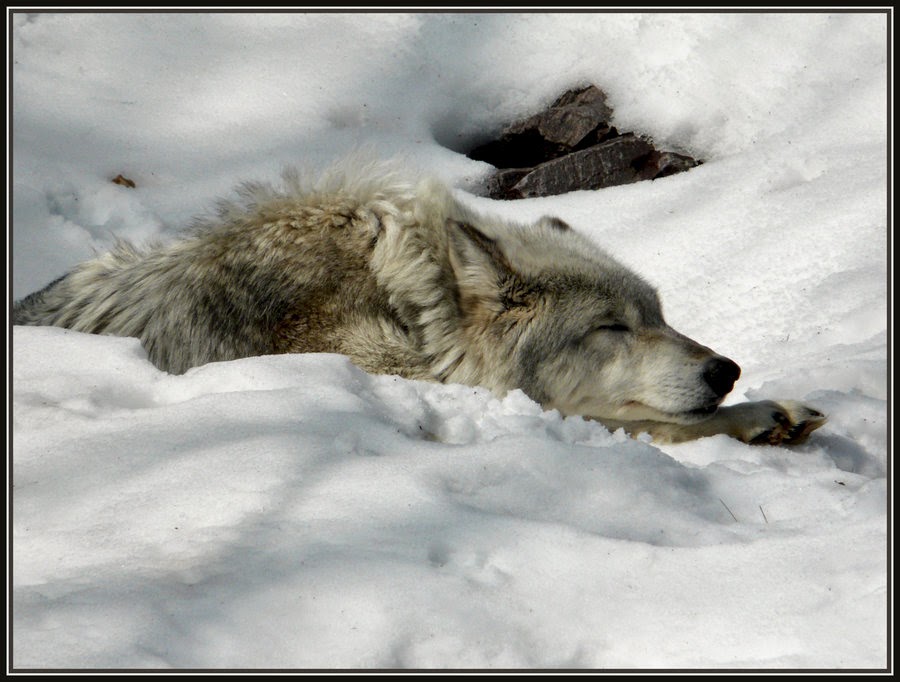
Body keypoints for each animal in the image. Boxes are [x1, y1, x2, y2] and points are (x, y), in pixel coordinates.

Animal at [13, 158, 825, 444]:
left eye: (660, 317)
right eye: (611, 328)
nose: (726, 369)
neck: (411, 308)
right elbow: (630, 419)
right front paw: (757, 416)